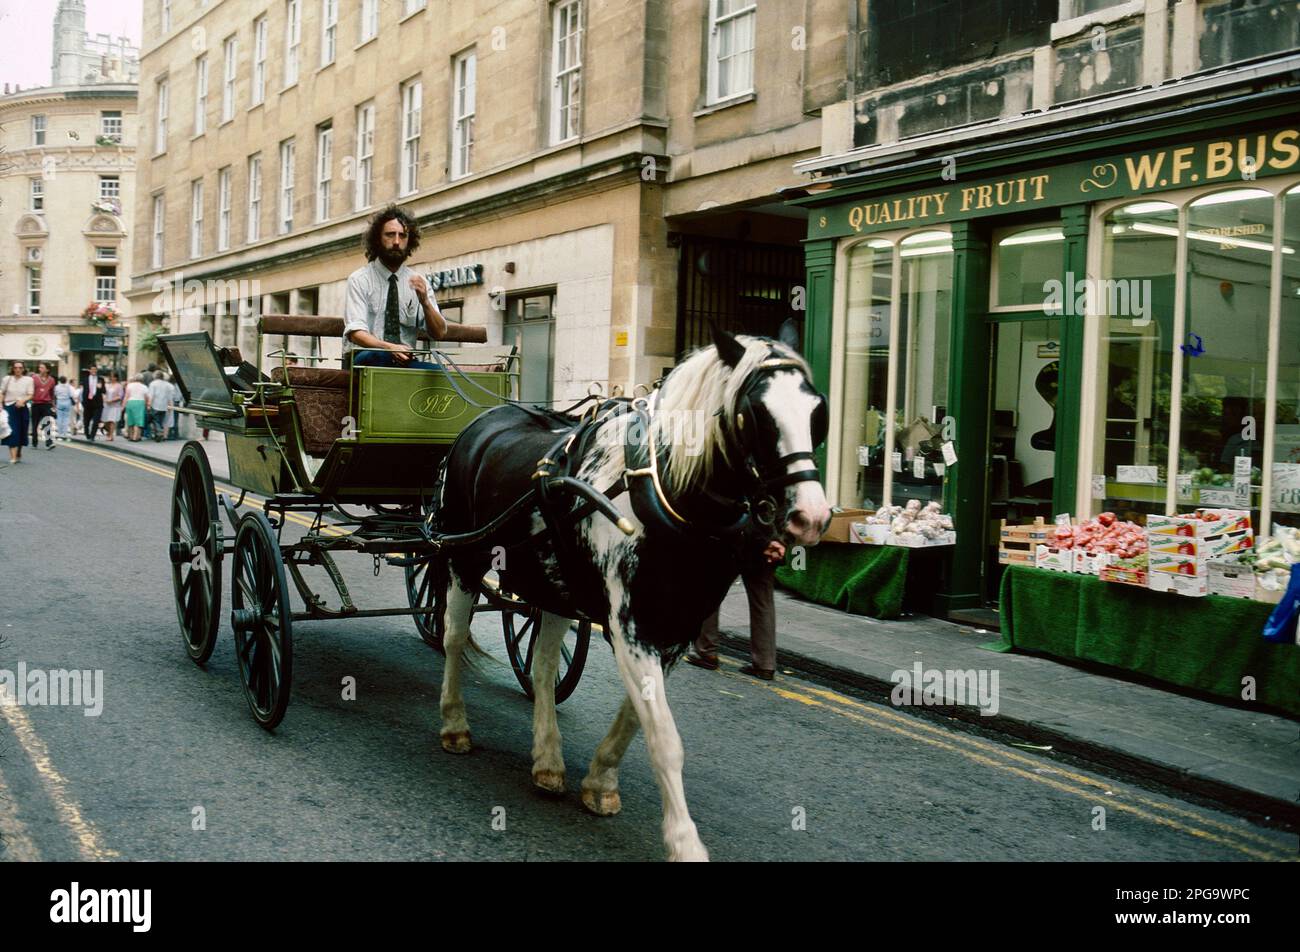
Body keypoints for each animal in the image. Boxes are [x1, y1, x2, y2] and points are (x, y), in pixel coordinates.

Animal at [429, 328, 831, 861]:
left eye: (816, 411)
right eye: (756, 414)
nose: (812, 516)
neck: (665, 493)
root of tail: (484, 419)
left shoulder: (675, 630)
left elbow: (637, 718)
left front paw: (600, 782)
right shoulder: (629, 627)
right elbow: (664, 737)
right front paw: (684, 841)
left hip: (556, 586)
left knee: (541, 666)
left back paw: (548, 760)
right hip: (463, 559)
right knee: (454, 638)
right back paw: (454, 724)